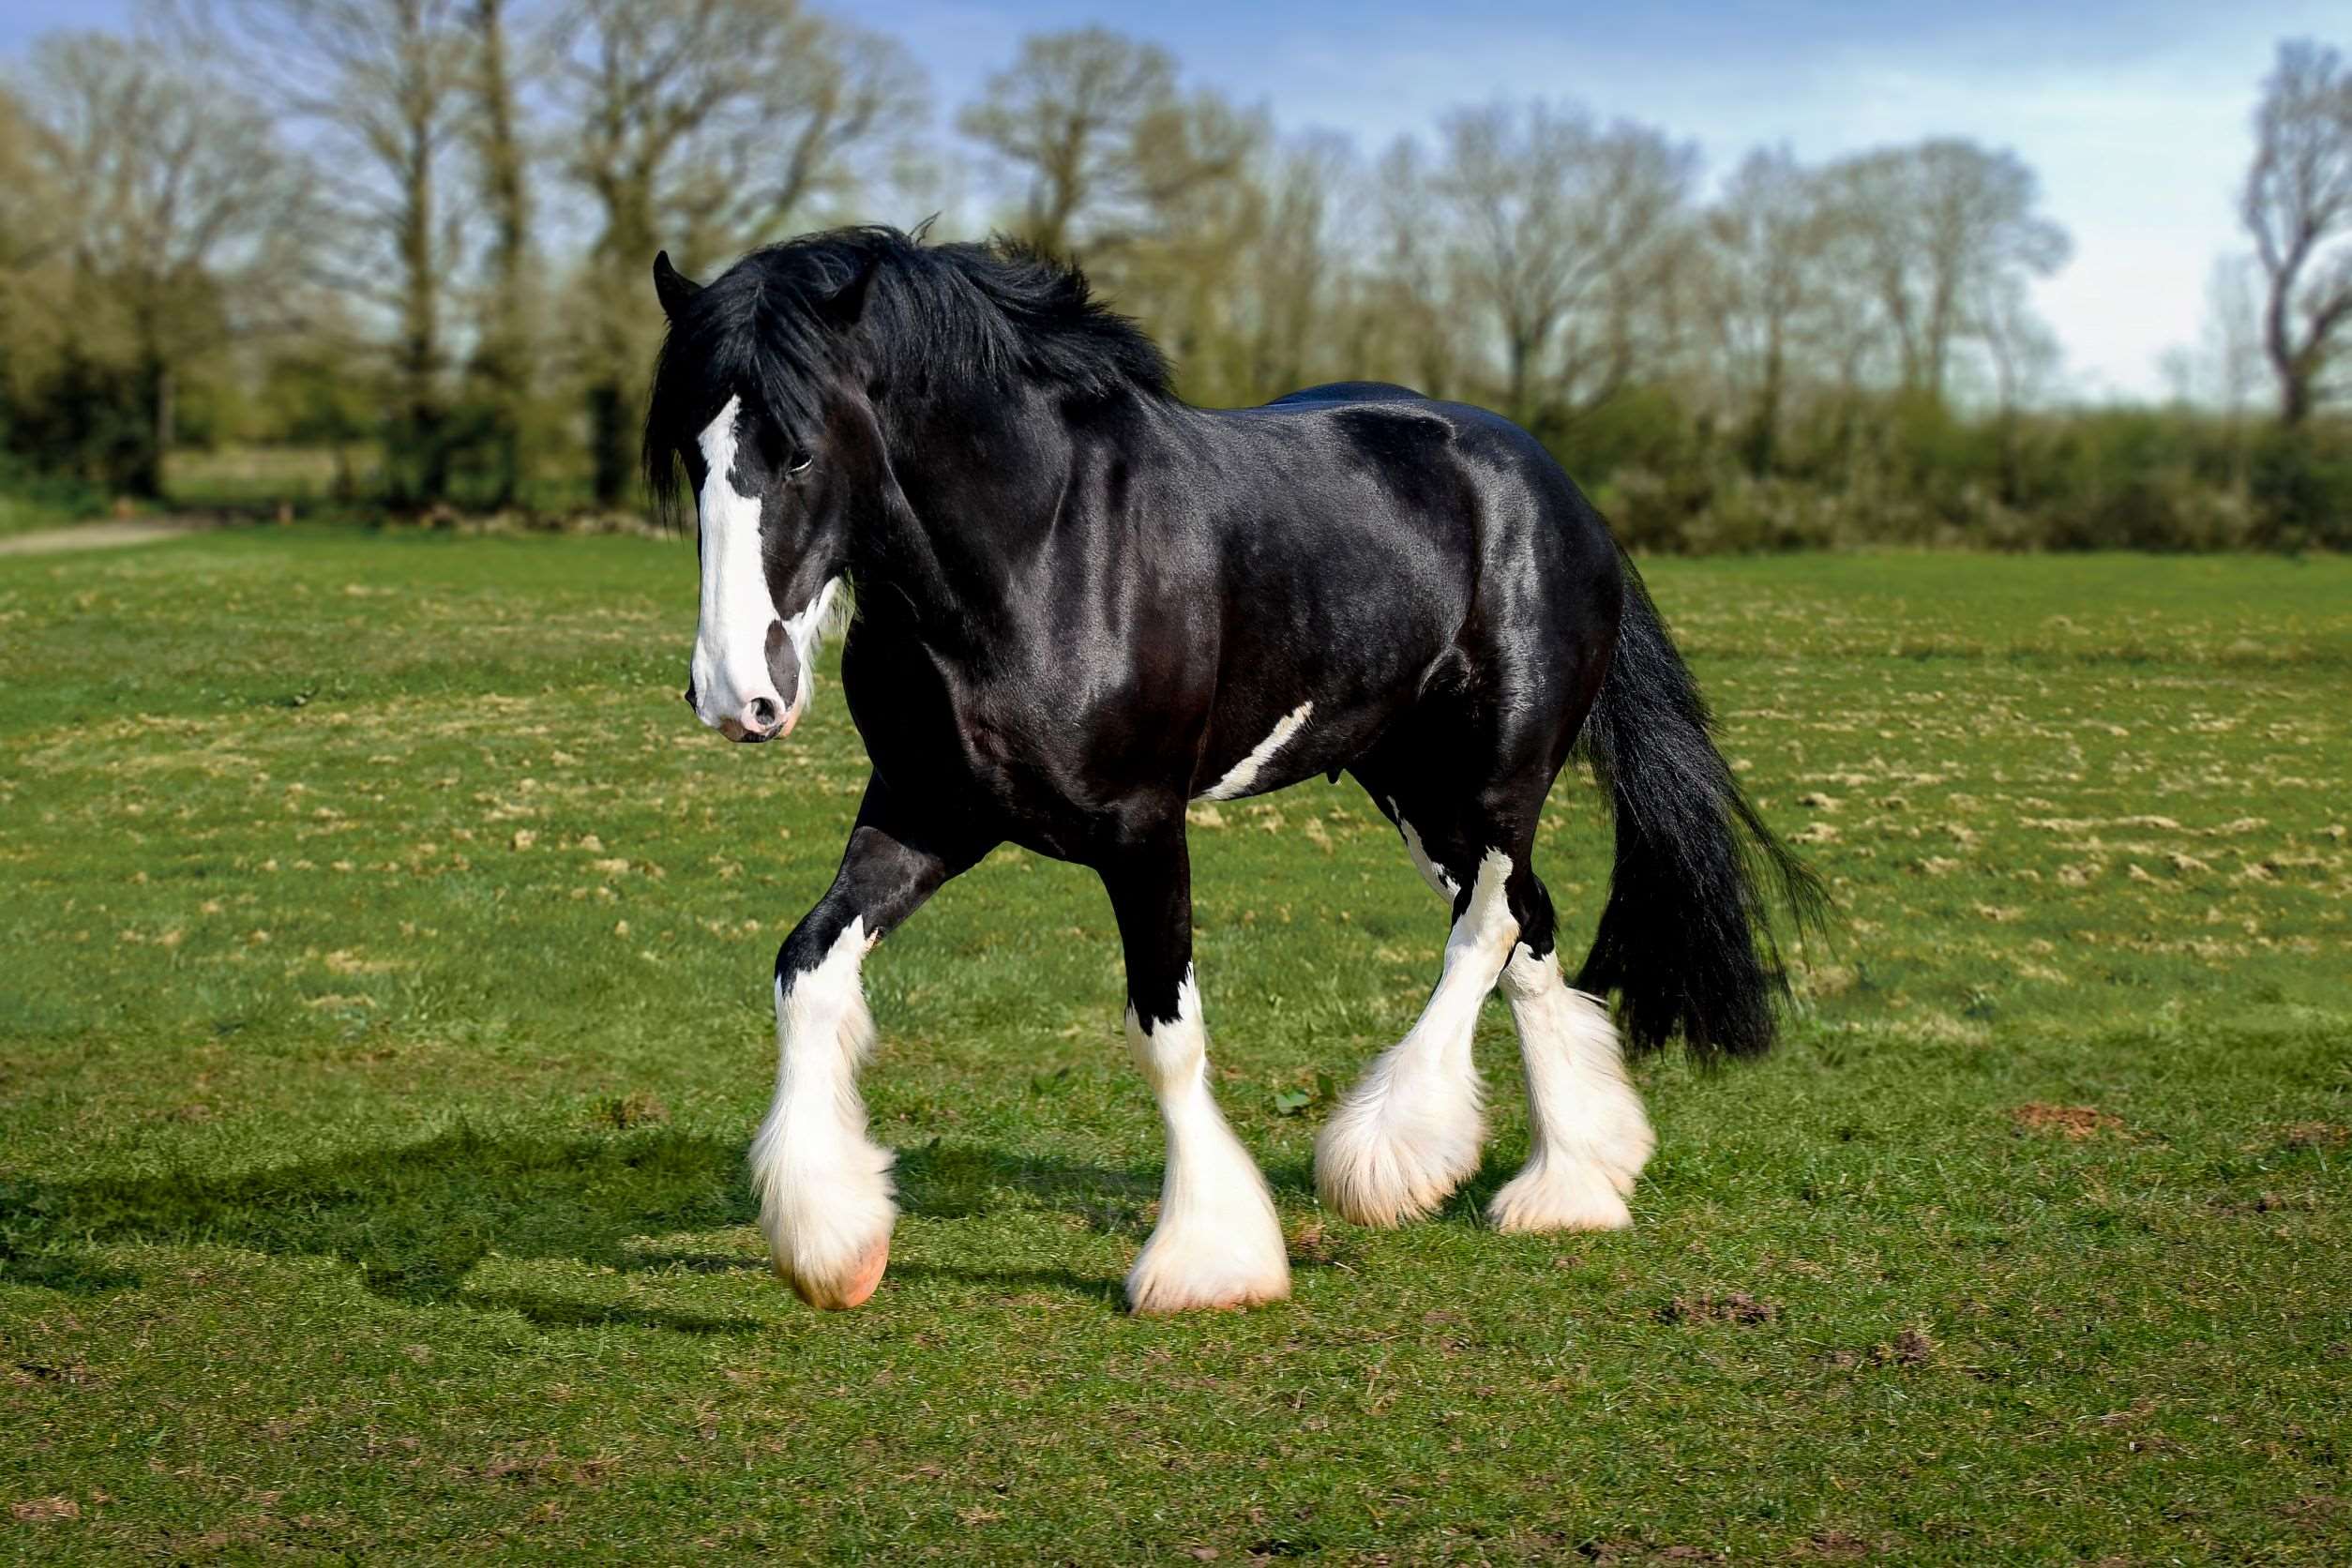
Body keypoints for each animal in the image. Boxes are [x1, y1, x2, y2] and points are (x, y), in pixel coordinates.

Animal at [642, 225, 1820, 1315]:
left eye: (799, 453)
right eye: (693, 456)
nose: (737, 694)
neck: (1034, 555)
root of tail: (1551, 484)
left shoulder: (1141, 827)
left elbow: (1165, 1031)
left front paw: (1208, 1260)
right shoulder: (926, 814)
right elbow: (805, 969)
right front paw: (833, 1242)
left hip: (1497, 773)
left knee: (1487, 926)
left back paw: (1390, 1155)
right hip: (1411, 782)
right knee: (1527, 927)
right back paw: (1573, 1181)